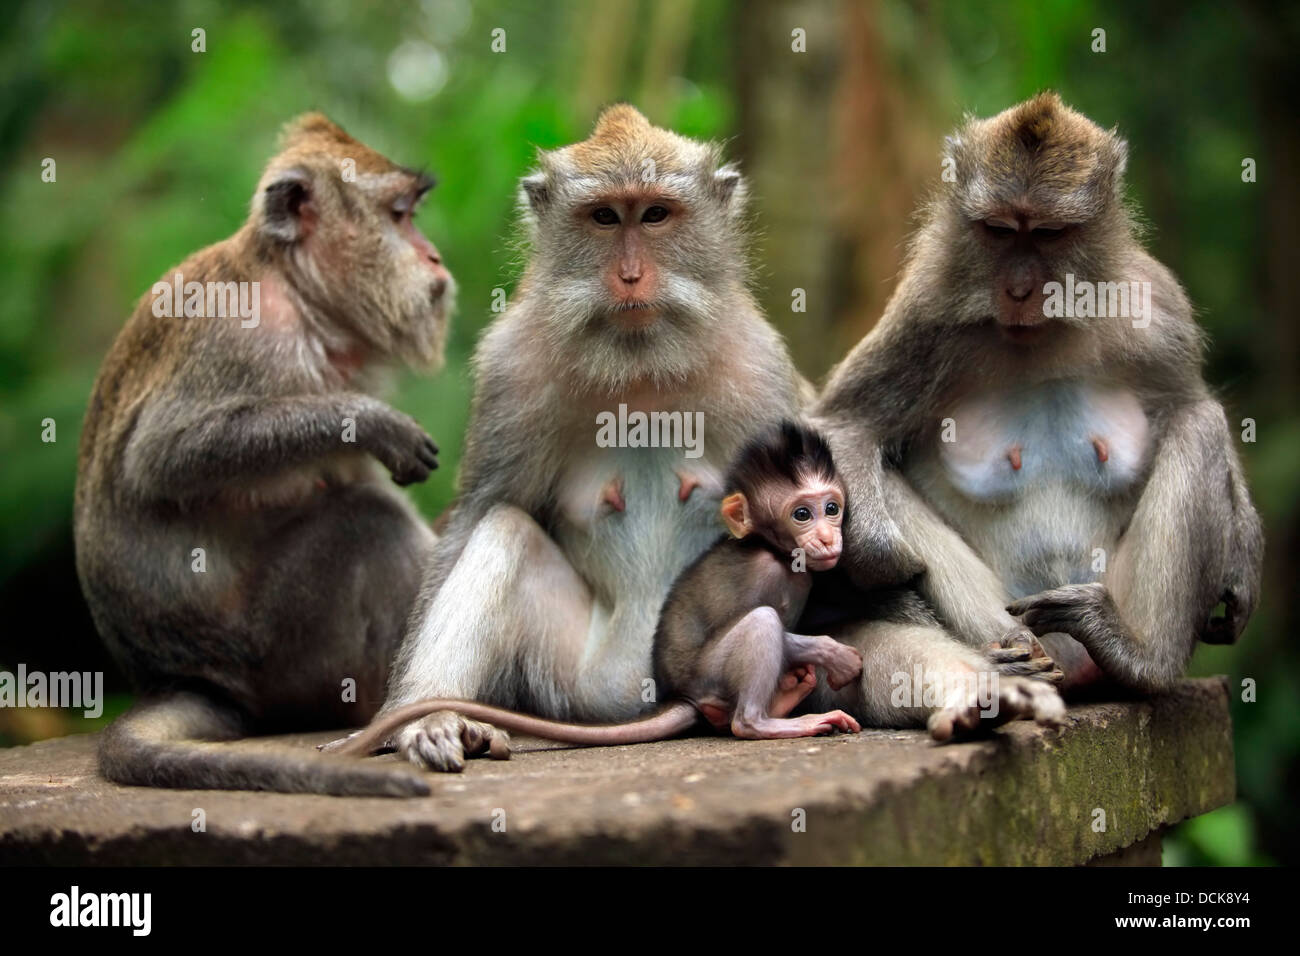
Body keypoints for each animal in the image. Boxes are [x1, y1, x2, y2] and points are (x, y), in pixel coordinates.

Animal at [74, 114, 456, 796]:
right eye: (399, 215)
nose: (434, 256)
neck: (295, 292)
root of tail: (191, 678)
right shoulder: (239, 336)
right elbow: (164, 456)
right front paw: (374, 423)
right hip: (282, 649)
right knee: (368, 520)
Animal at [322, 421, 864, 759]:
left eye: (831, 507)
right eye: (802, 513)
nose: (827, 537)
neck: (776, 553)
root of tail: (682, 694)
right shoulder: (761, 573)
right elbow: (759, 618)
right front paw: (833, 654)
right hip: (709, 674)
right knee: (759, 632)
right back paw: (765, 720)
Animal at [377, 104, 819, 772]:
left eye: (656, 214)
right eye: (605, 217)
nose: (630, 275)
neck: (639, 367)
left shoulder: (761, 372)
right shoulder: (512, 370)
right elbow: (477, 514)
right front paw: (412, 715)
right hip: (582, 683)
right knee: (505, 529)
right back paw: (438, 717)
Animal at [811, 92, 1264, 698]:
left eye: (1048, 233)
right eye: (1001, 230)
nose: (1021, 289)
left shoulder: (1156, 307)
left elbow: (1187, 401)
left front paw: (1243, 560)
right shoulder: (925, 312)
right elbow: (846, 423)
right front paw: (878, 553)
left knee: (1200, 425)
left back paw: (1136, 656)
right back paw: (1011, 663)